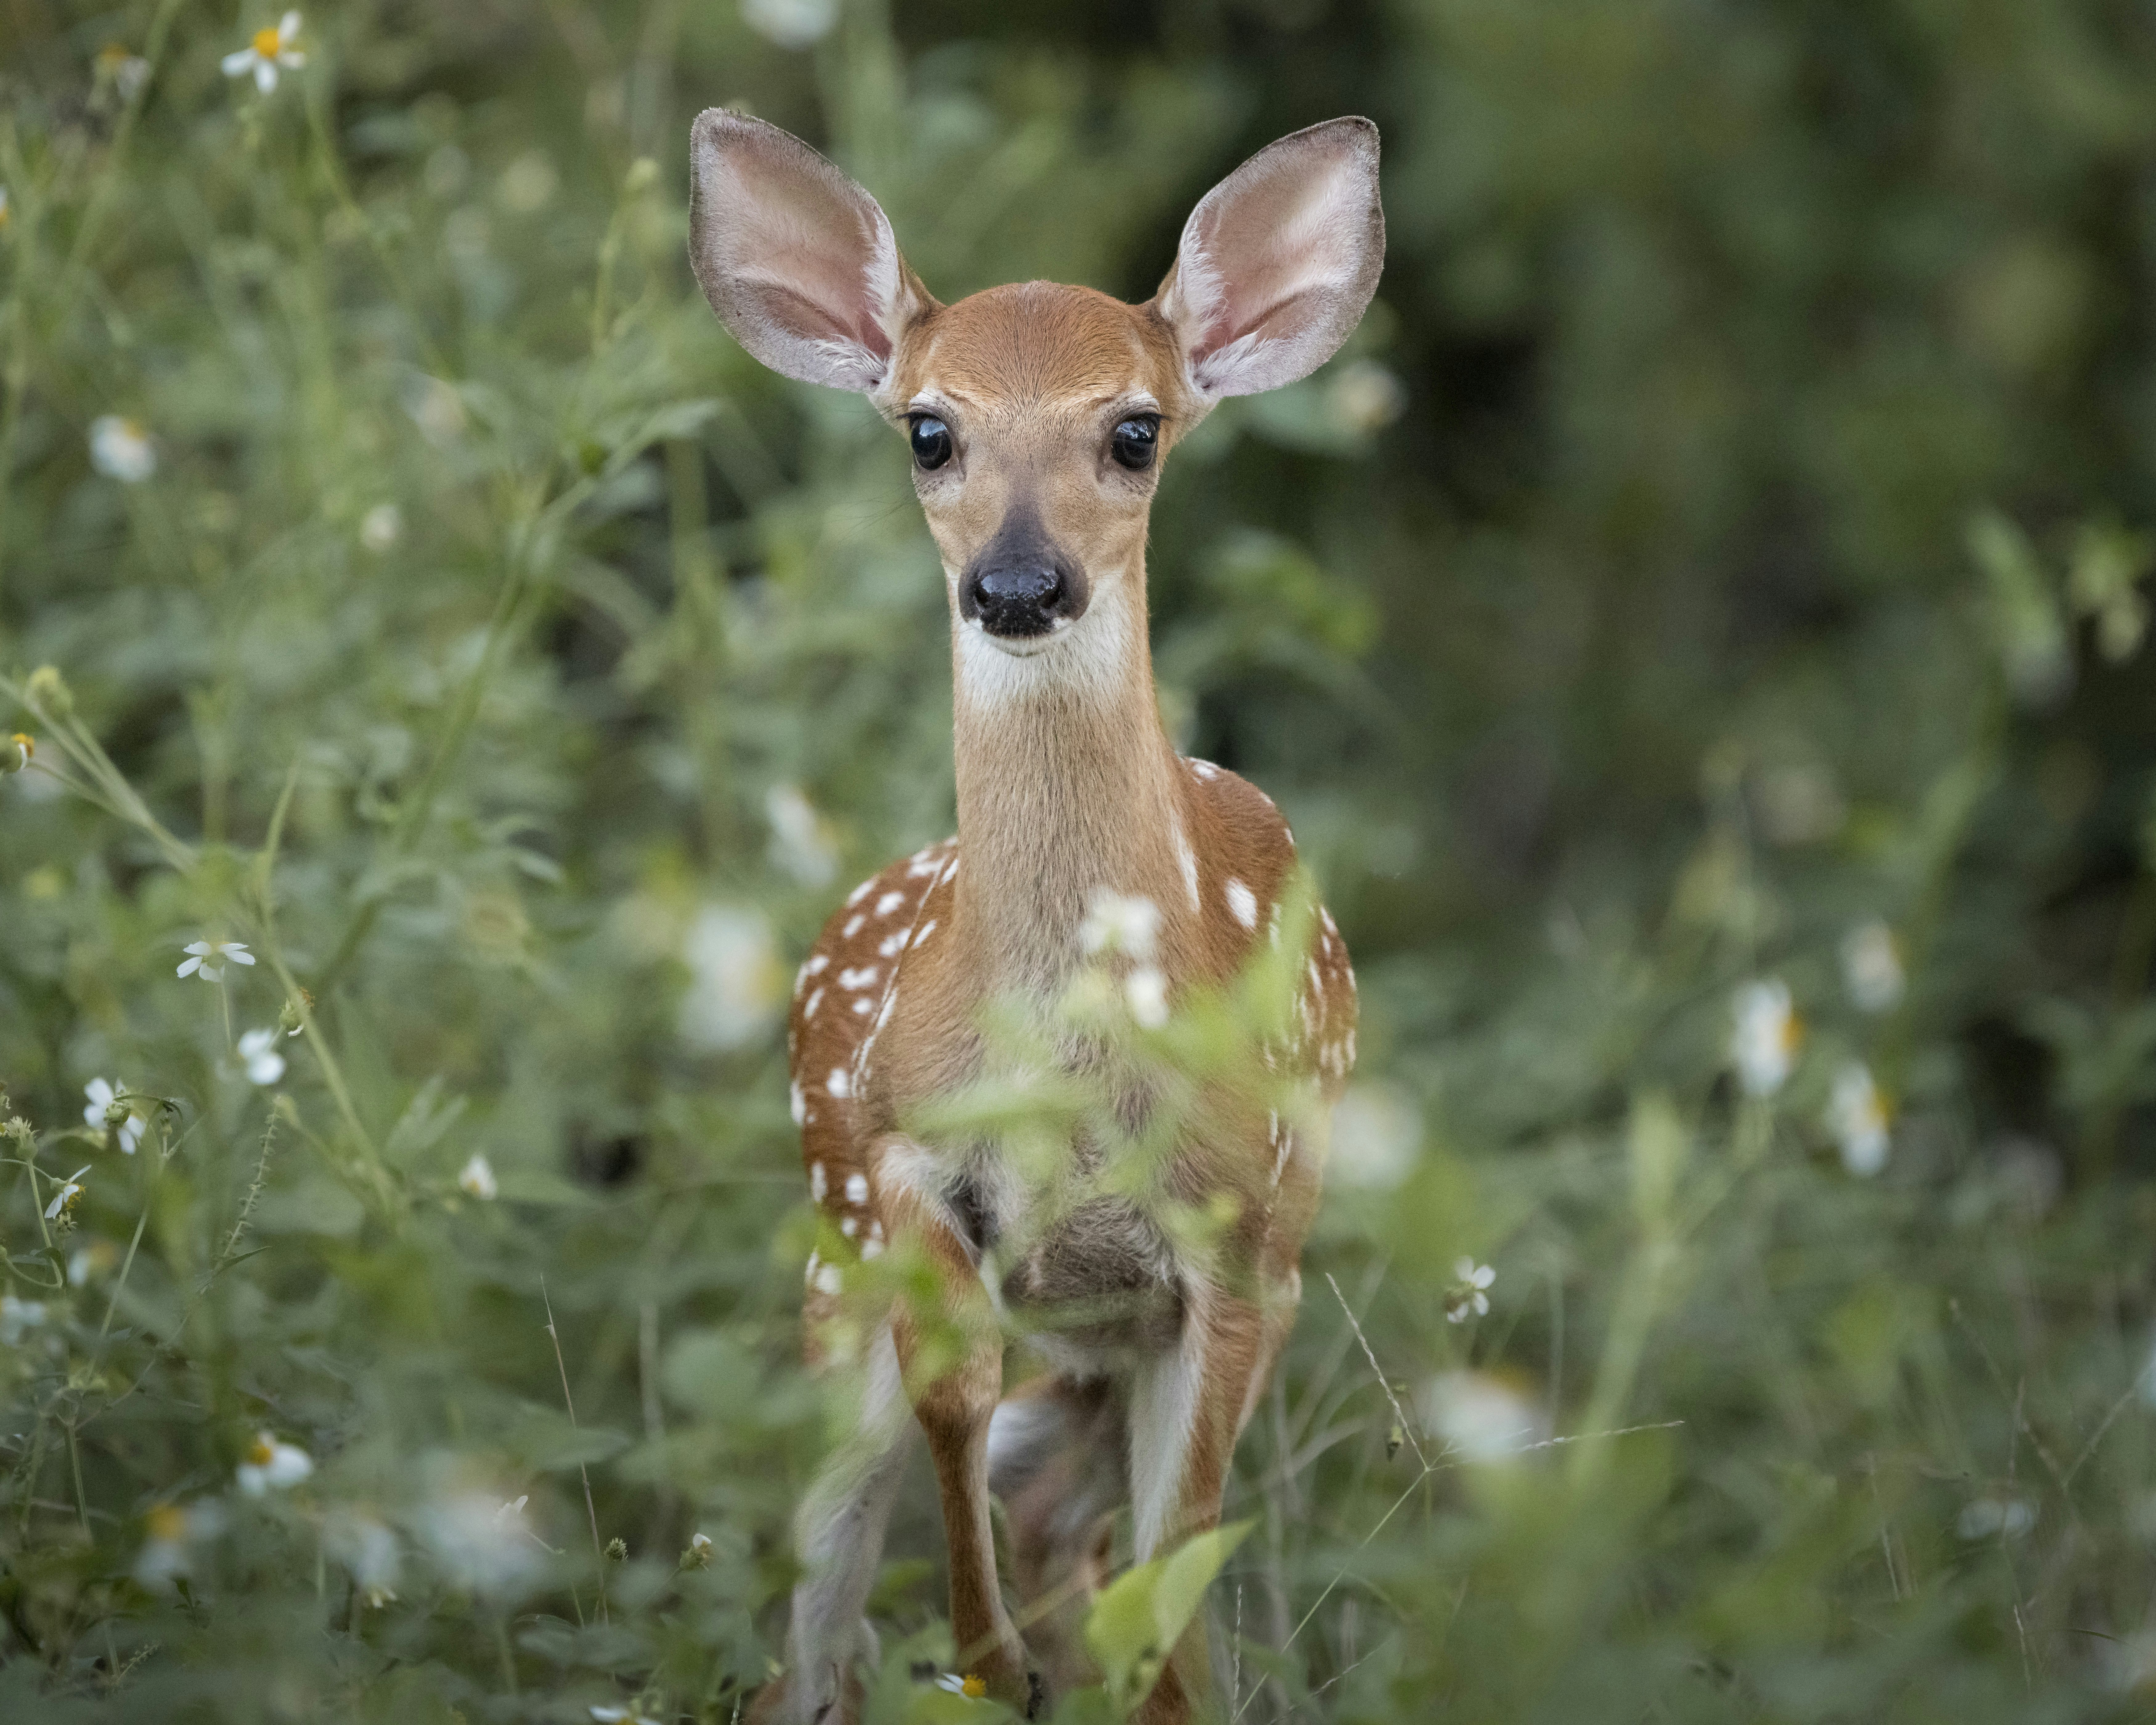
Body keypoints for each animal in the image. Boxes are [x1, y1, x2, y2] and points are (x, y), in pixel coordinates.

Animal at [687, 109, 1381, 1724]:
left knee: (1088, 1524)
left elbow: (1179, 1561)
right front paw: (981, 1651)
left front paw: (1037, 1659)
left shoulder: (1235, 1239)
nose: (1015, 582)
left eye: (1133, 430)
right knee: (826, 1587)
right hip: (828, 1245)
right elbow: (955, 1394)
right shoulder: (896, 1153)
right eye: (928, 430)